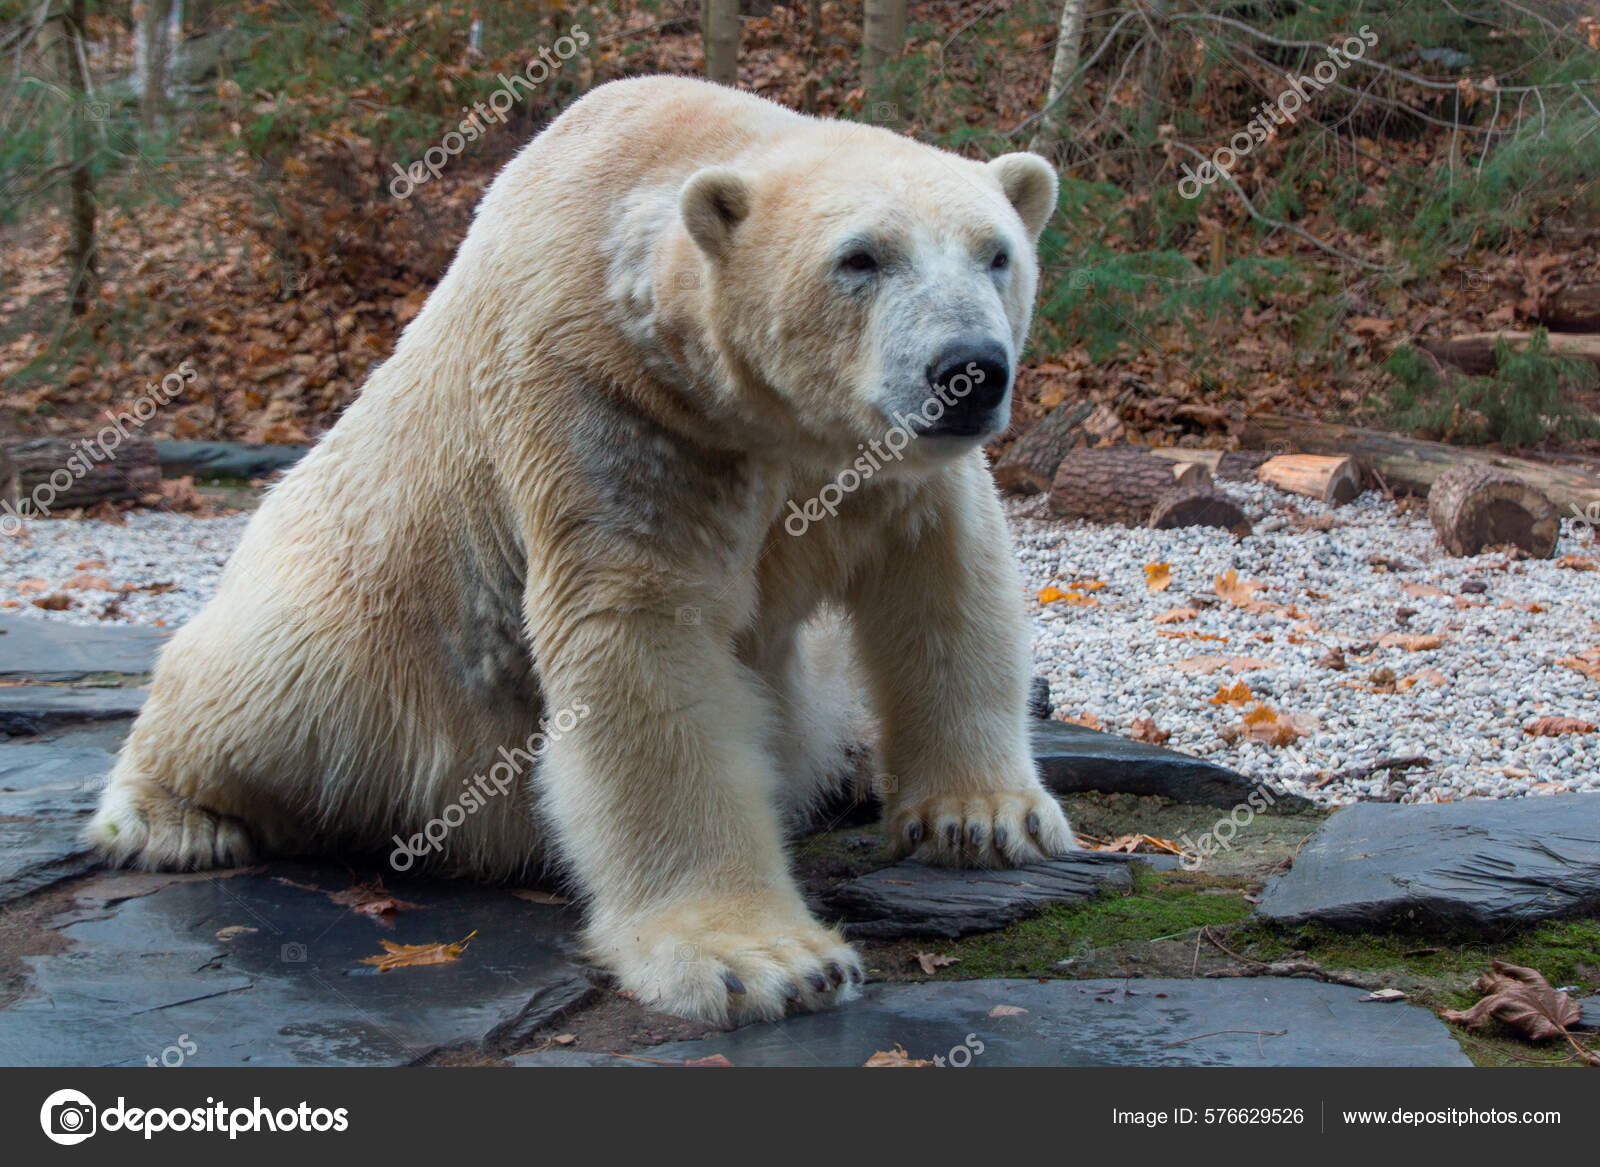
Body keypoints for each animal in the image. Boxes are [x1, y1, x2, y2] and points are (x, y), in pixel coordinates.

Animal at [87, 75, 1075, 1026]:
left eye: (997, 252)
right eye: (860, 258)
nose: (969, 371)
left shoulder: (874, 463)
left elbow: (945, 575)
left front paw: (984, 818)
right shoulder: (606, 399)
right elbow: (639, 637)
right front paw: (762, 960)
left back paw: (850, 764)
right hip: (360, 630)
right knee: (262, 677)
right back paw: (171, 818)